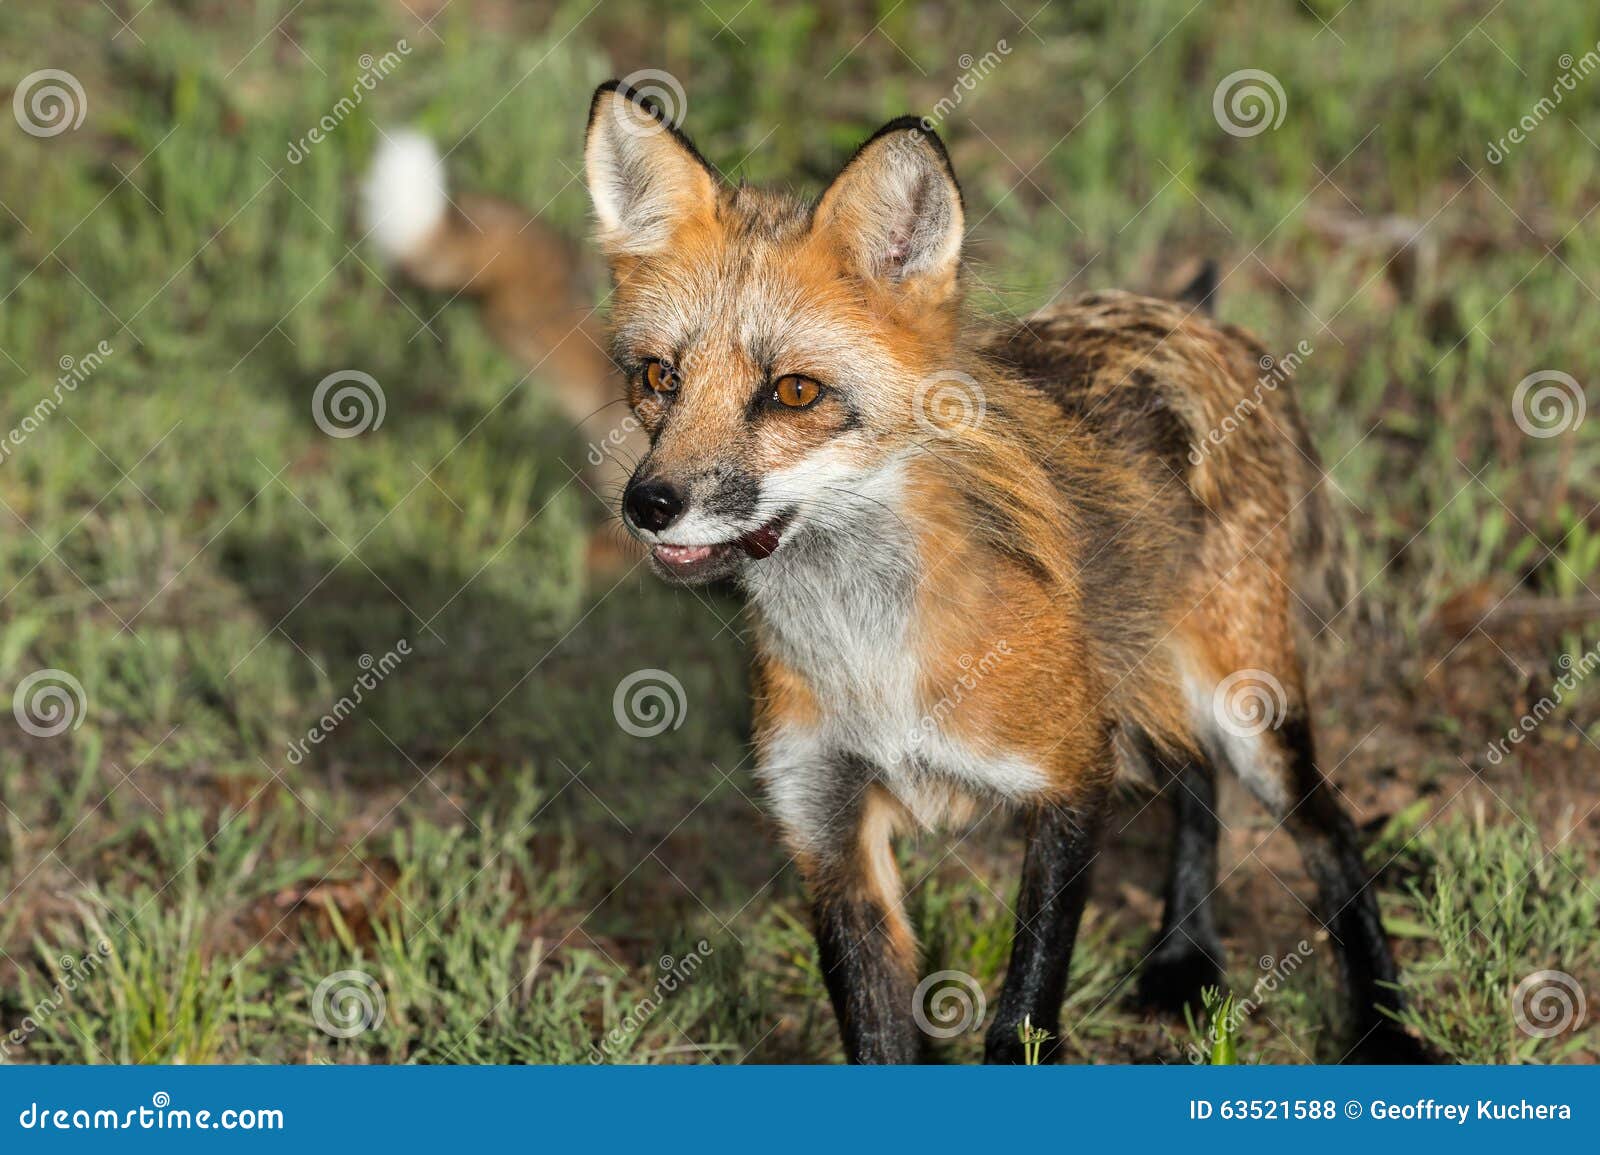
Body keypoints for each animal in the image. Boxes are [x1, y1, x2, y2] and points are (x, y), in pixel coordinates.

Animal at [369, 81, 1427, 1065]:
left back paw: (1385, 1029)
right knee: (1193, 777)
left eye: (794, 391)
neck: (873, 662)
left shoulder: (1069, 781)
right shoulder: (826, 822)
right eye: (659, 377)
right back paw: (1184, 956)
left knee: (1329, 834)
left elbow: (1022, 1015)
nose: (650, 503)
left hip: (1243, 700)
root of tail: (1182, 313)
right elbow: (876, 1034)